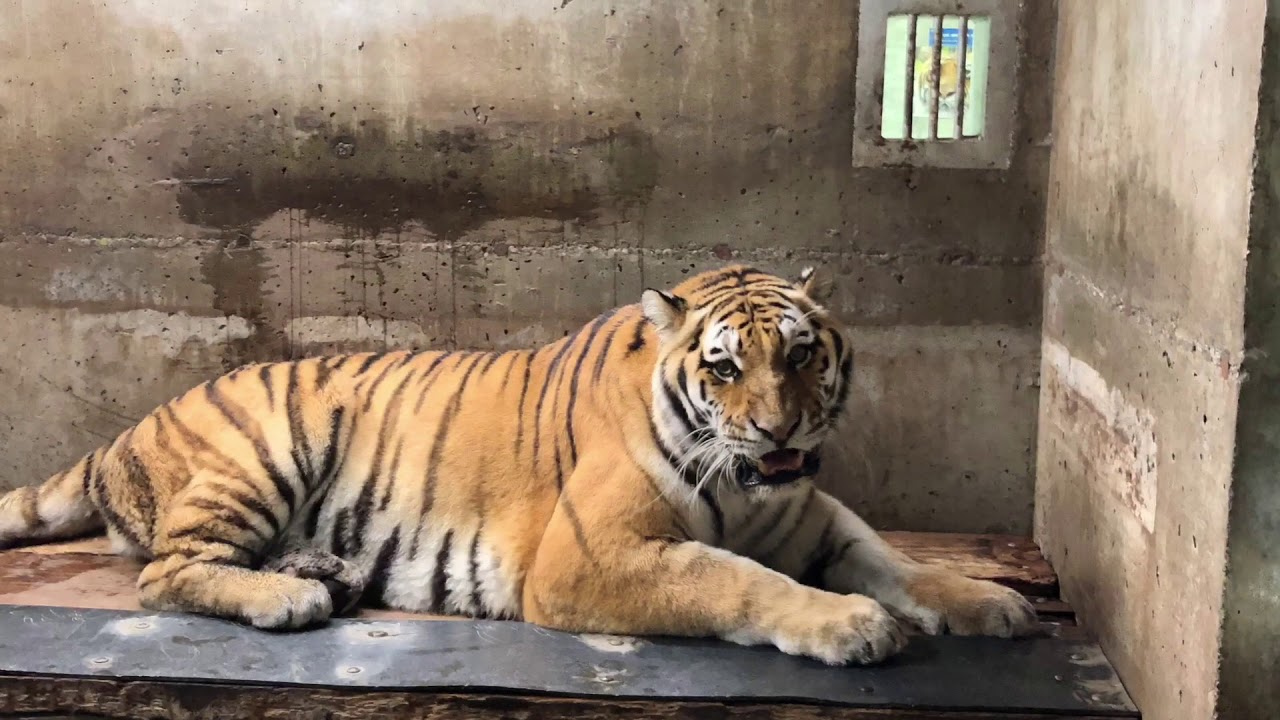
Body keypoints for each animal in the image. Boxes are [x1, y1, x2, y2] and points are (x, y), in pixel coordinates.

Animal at [0, 263, 1037, 665]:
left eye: (803, 355)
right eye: (724, 367)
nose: (780, 434)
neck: (746, 487)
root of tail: (125, 429)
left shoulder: (812, 515)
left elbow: (901, 561)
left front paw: (990, 602)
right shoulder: (590, 557)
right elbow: (733, 581)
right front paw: (850, 625)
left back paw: (324, 573)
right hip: (265, 445)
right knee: (167, 574)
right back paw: (289, 597)